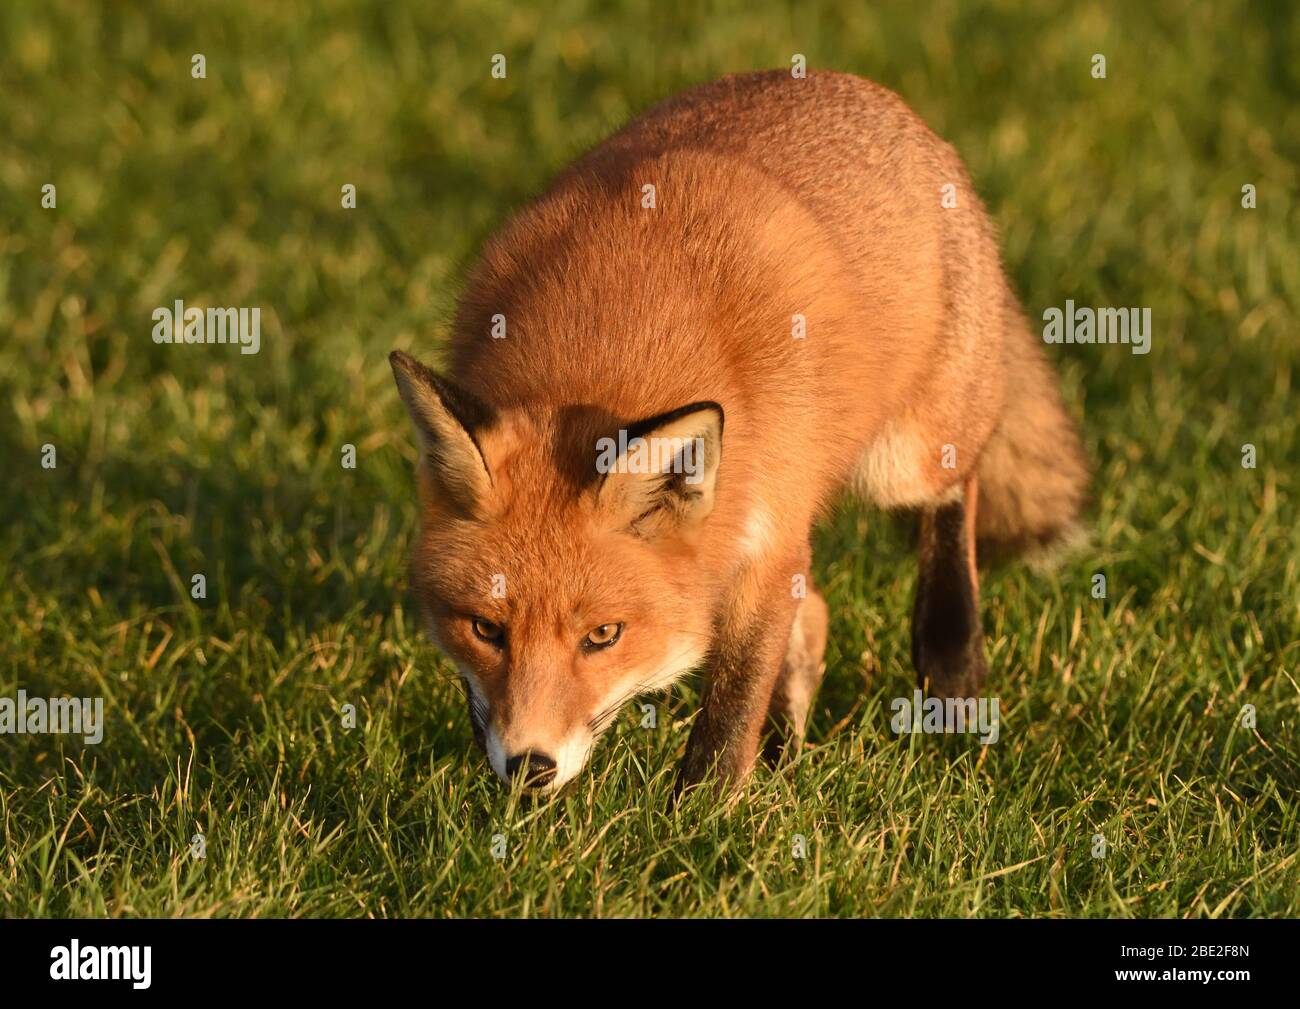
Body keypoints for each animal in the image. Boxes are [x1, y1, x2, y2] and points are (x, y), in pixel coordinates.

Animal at [390, 70, 1089, 795]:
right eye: (485, 628)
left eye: (603, 635)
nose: (530, 768)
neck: (603, 345)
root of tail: (876, 95)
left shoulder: (772, 541)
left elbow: (732, 703)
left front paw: (701, 810)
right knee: (817, 617)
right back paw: (785, 758)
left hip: (906, 459)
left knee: (955, 495)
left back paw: (951, 668)